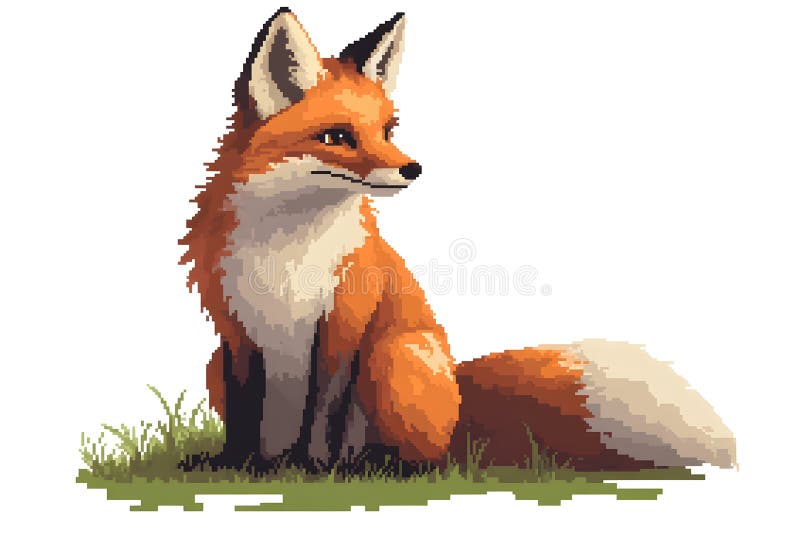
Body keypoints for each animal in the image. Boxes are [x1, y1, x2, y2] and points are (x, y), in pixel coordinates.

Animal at [180, 8, 736, 472]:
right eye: (337, 137)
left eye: (389, 129)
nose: (413, 168)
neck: (288, 250)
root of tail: (458, 393)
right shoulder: (233, 331)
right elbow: (244, 417)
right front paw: (238, 469)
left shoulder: (346, 319)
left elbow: (323, 413)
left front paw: (317, 470)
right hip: (216, 365)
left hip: (396, 352)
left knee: (424, 460)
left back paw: (372, 469)